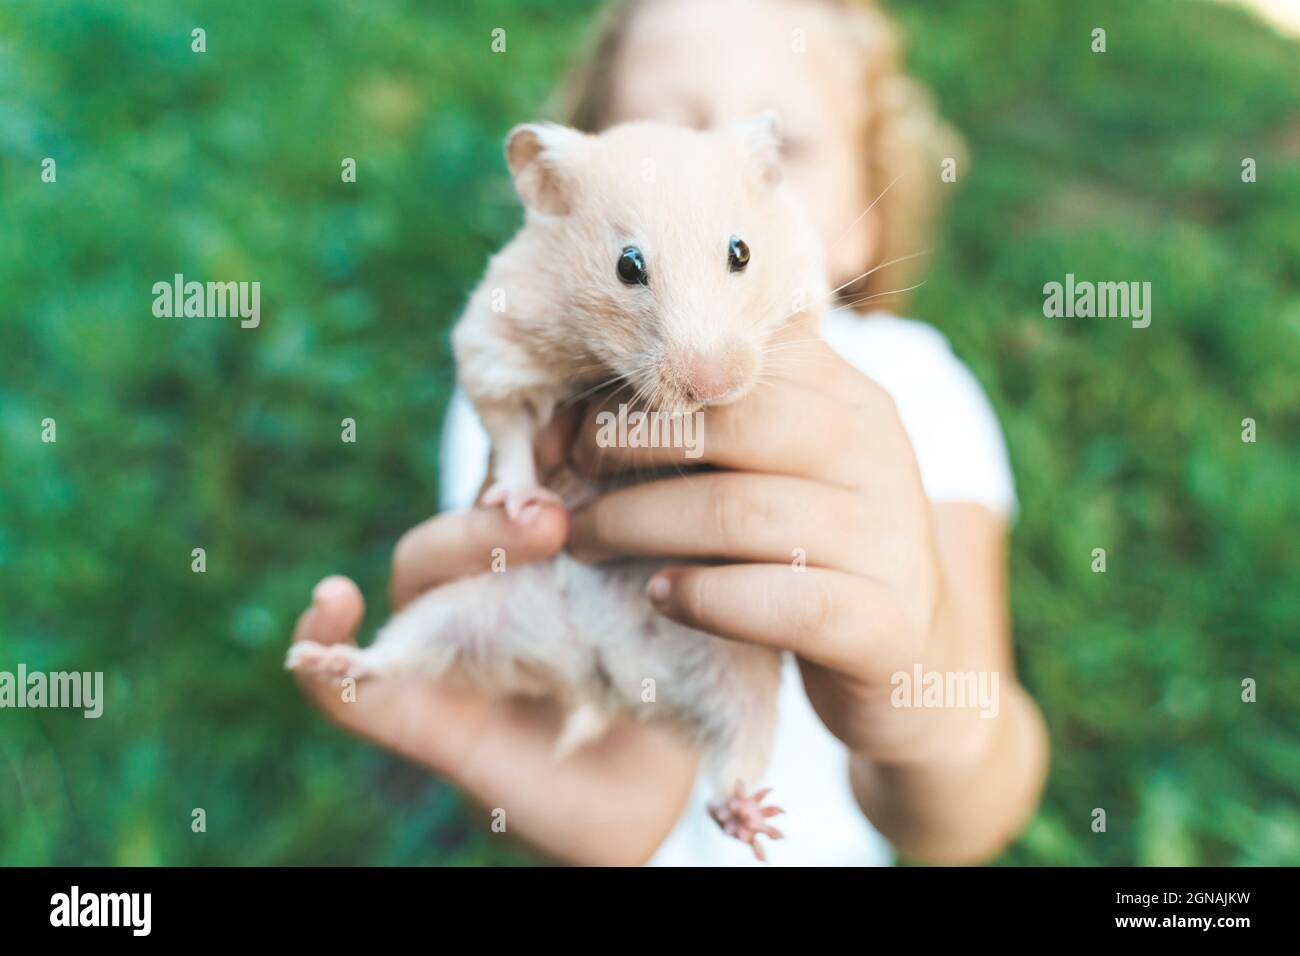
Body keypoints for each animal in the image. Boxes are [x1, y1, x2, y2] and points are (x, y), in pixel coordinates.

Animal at [288, 115, 829, 860]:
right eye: (628, 265)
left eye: (741, 252)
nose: (710, 386)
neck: (602, 366)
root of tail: (601, 680)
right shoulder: (494, 346)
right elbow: (511, 432)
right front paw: (527, 503)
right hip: (461, 611)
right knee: (396, 655)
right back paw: (325, 659)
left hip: (737, 673)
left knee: (734, 754)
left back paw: (749, 817)